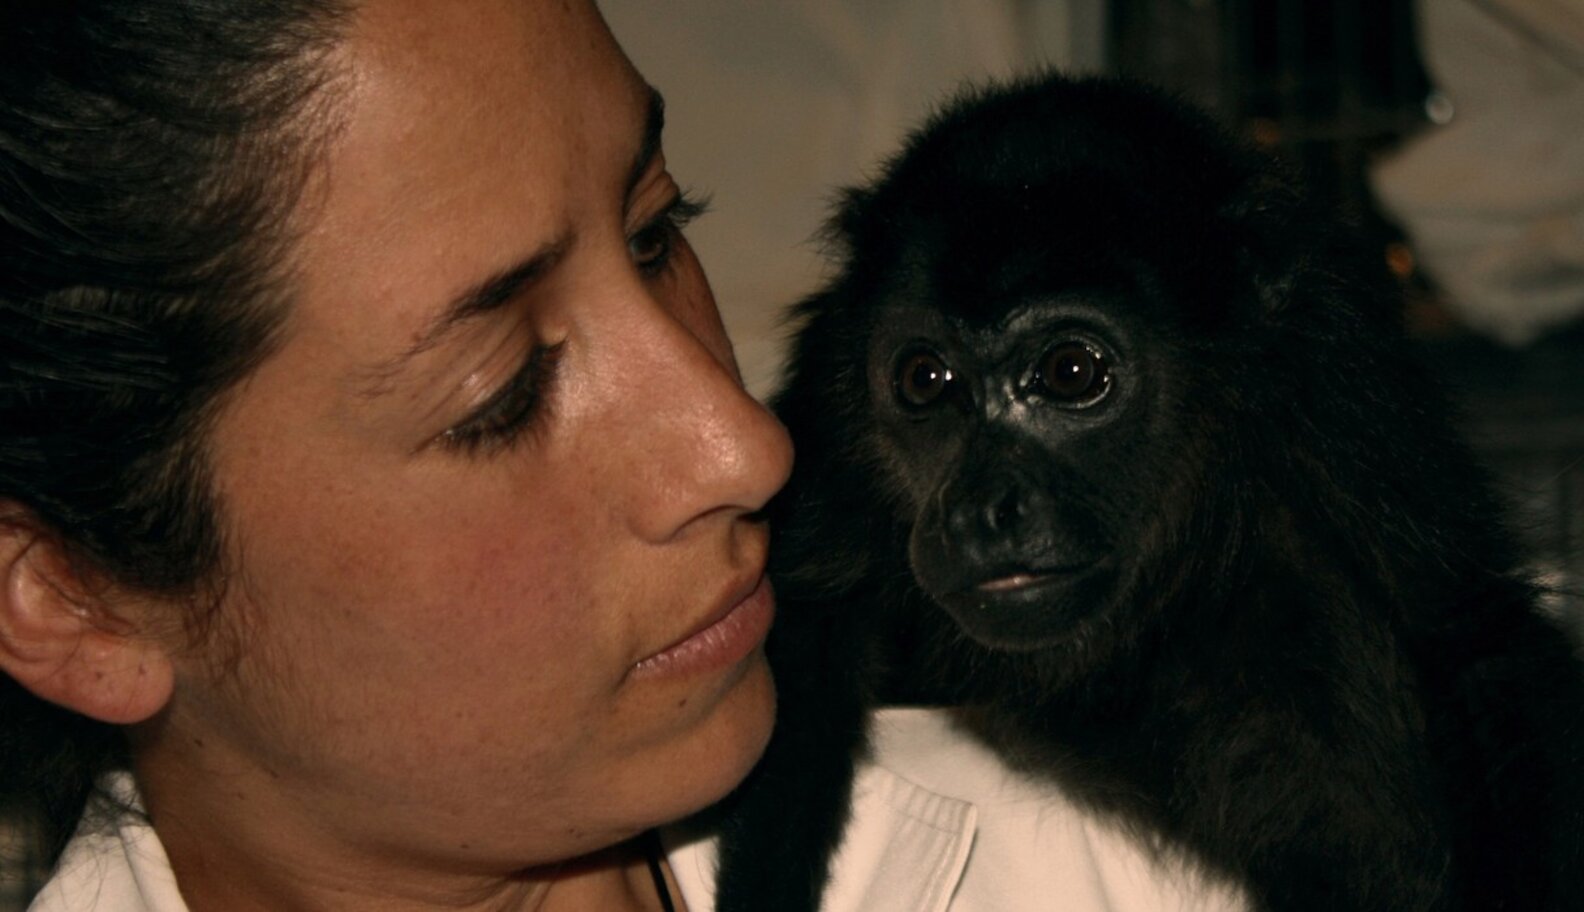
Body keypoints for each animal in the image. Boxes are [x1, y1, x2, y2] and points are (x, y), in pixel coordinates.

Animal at [710, 73, 1584, 912]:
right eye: (926, 379)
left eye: (1071, 371)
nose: (979, 512)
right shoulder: (833, 377)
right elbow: (807, 614)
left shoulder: (1335, 369)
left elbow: (1469, 638)